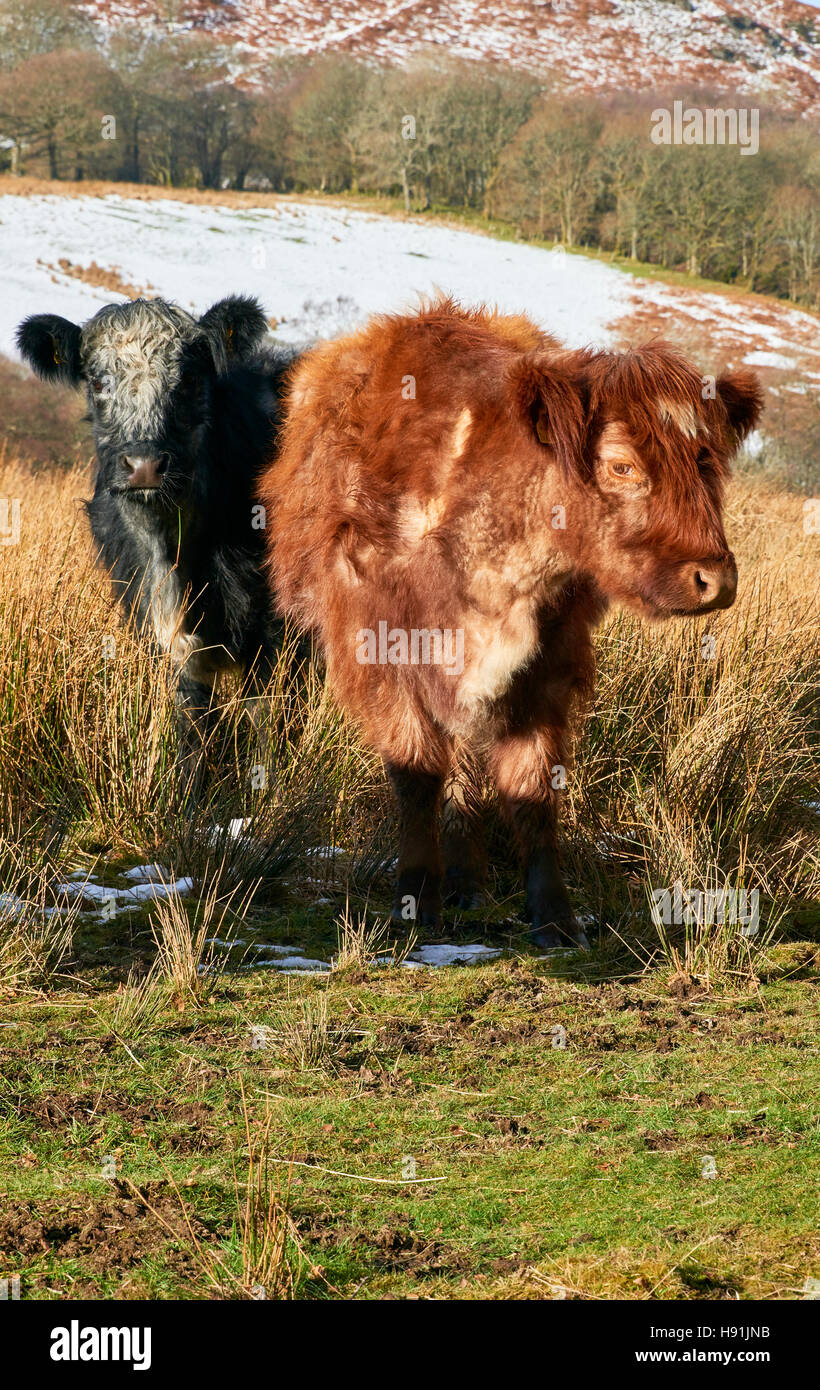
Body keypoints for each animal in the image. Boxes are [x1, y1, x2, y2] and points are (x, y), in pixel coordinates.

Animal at [17, 295, 299, 801]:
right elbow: (190, 730)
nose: (144, 465)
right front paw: (187, 803)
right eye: (97, 380)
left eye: (186, 379)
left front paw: (269, 801)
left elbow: (269, 725)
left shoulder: (273, 637)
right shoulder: (163, 636)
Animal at [259, 298, 762, 948]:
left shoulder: (545, 668)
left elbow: (531, 791)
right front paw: (415, 902)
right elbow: (417, 777)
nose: (713, 578)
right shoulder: (384, 657)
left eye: (706, 461)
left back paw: (468, 883)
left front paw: (555, 918)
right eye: (622, 466)